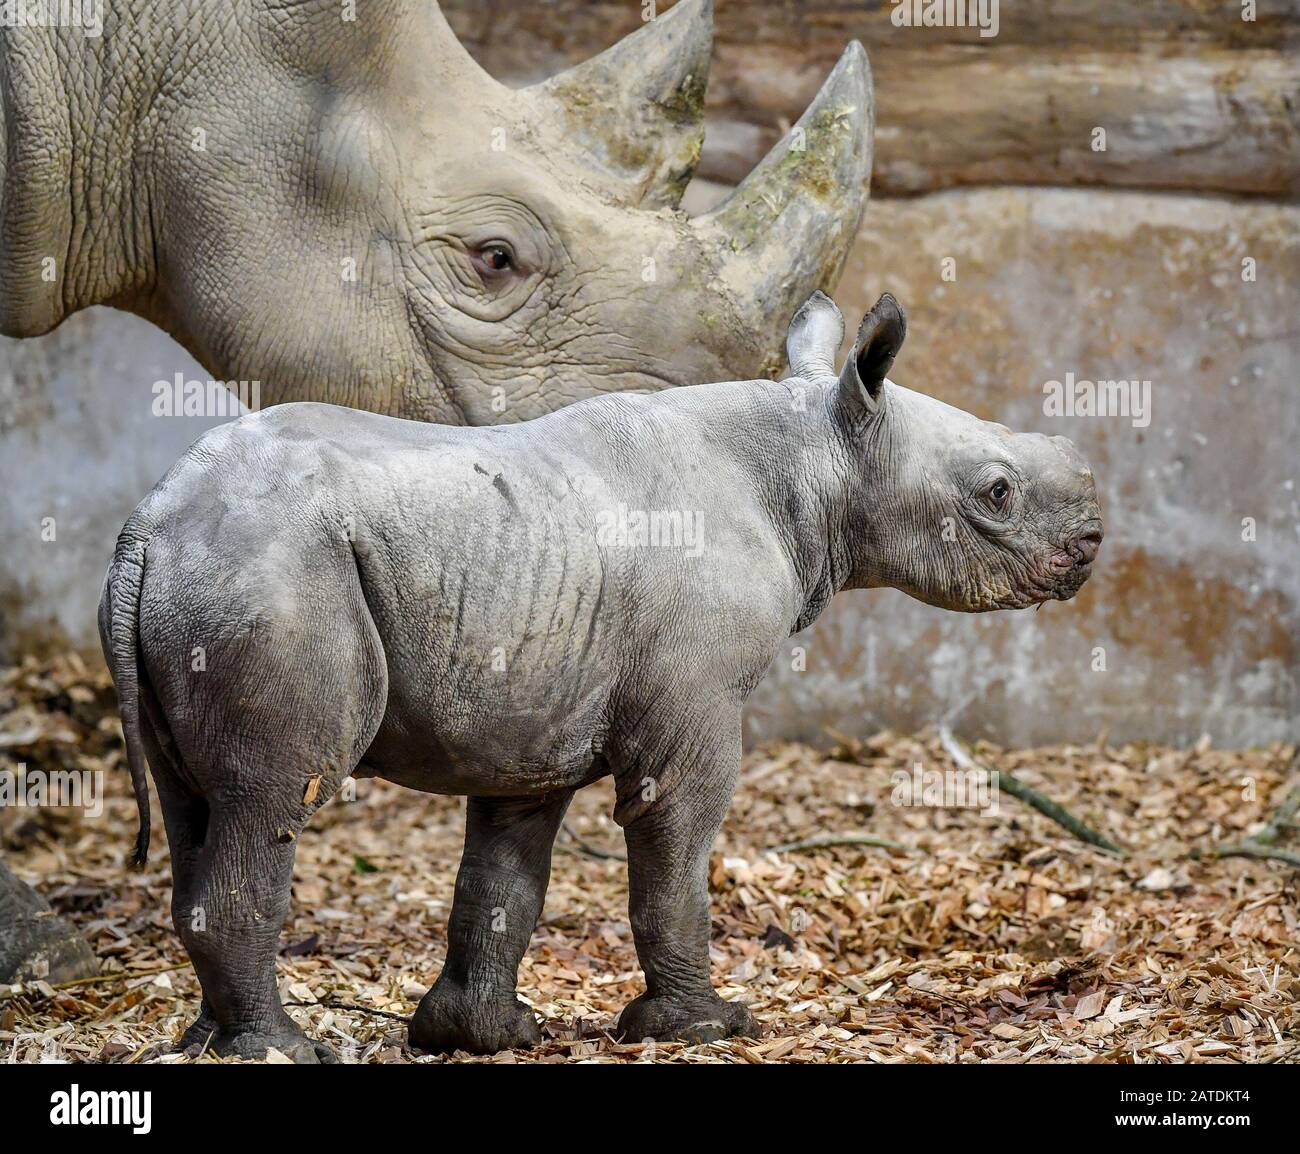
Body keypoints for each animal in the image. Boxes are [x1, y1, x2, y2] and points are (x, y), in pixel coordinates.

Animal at [100, 292, 1103, 1060]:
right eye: (998, 492)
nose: (1094, 540)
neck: (818, 457)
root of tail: (149, 527)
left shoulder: (529, 710)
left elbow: (502, 881)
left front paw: (484, 1037)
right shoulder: (695, 693)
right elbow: (677, 841)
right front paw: (704, 1028)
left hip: (215, 584)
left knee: (205, 806)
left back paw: (207, 1045)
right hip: (268, 577)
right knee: (274, 797)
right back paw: (281, 1051)